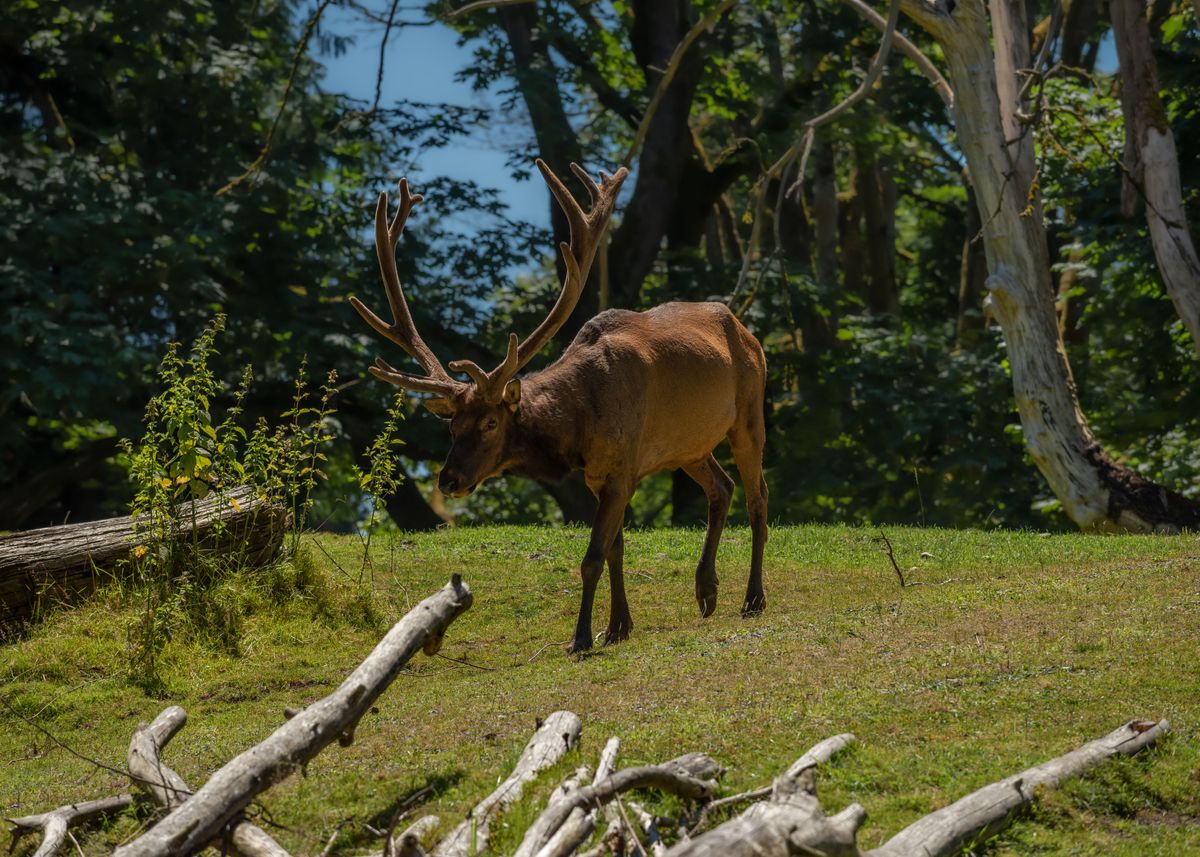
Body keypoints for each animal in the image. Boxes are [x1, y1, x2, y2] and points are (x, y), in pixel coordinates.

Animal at [351, 160, 768, 653]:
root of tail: (746, 329)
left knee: (758, 497)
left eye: (490, 423)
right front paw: (619, 626)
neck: (578, 428)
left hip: (750, 412)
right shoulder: (603, 477)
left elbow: (592, 557)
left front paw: (582, 636)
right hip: (689, 446)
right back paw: (706, 591)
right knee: (721, 487)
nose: (448, 480)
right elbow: (615, 549)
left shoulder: (622, 470)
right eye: (452, 426)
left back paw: (753, 598)